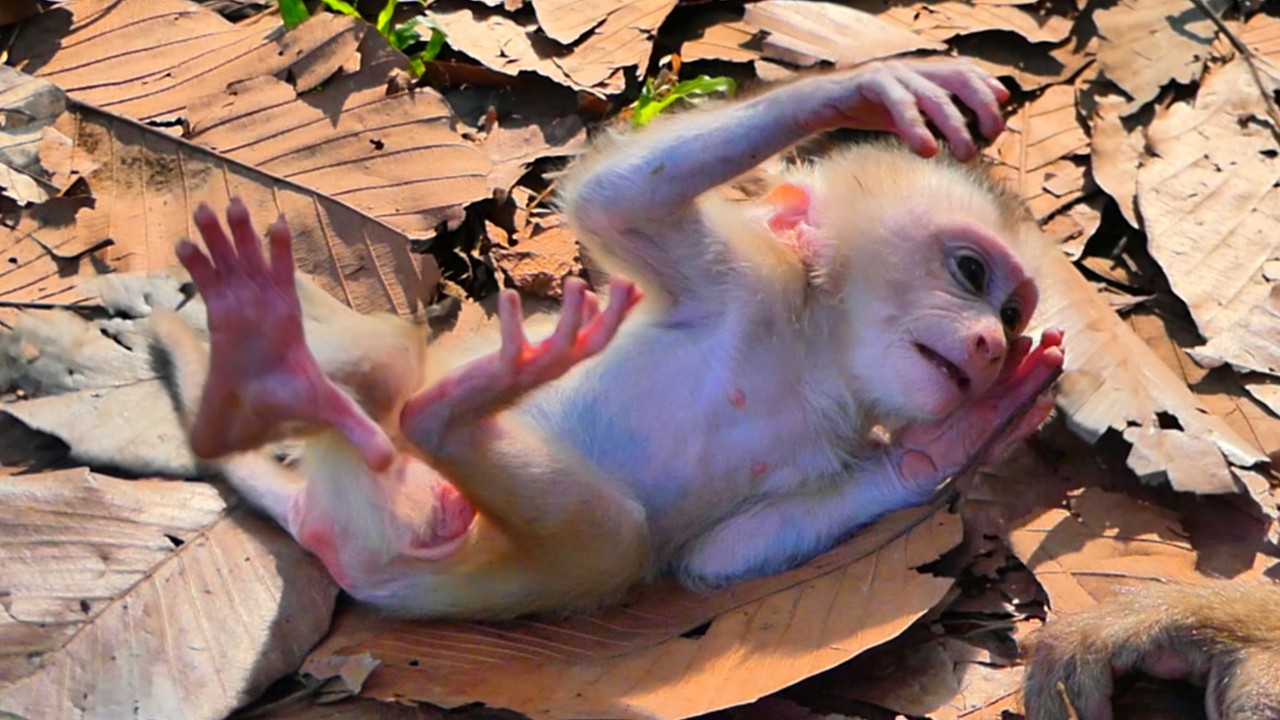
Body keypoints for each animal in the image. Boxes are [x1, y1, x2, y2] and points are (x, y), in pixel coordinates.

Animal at [151, 57, 1064, 619]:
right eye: (970, 274)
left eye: (1012, 316)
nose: (991, 347)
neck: (810, 361)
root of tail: (322, 525)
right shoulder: (746, 280)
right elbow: (617, 202)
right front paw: (867, 88)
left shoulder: (828, 447)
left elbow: (719, 556)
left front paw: (948, 445)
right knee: (392, 374)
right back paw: (281, 369)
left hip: (456, 553)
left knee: (608, 538)